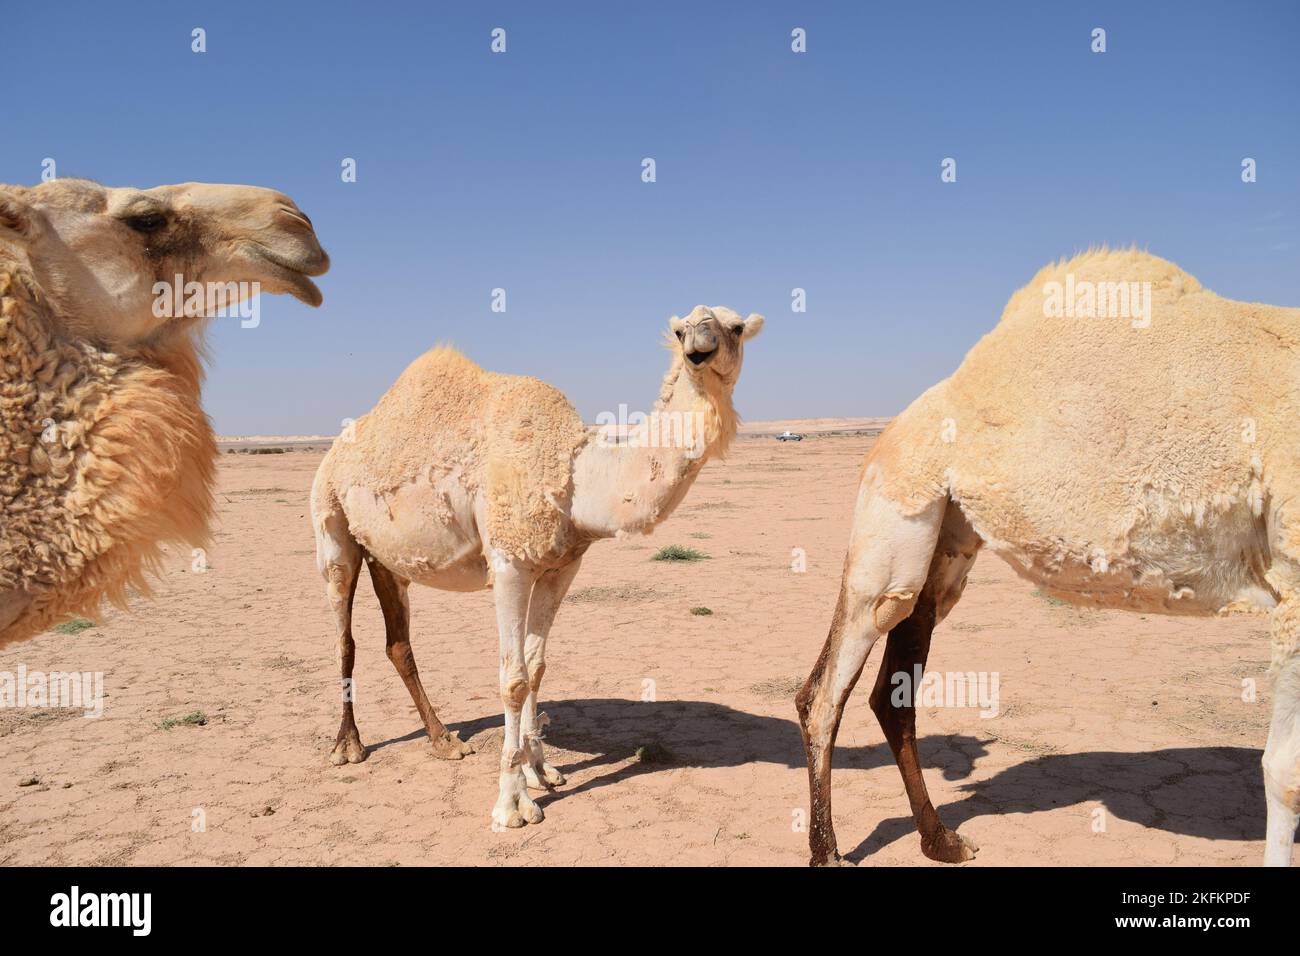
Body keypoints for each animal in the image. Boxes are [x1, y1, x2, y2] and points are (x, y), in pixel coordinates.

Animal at [312, 306, 762, 828]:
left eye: (734, 327)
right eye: (680, 327)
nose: (699, 345)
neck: (575, 476)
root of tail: (335, 449)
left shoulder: (560, 567)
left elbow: (537, 665)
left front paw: (541, 771)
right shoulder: (509, 563)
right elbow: (513, 678)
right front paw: (512, 804)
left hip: (385, 556)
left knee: (398, 643)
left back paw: (445, 741)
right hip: (332, 527)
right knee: (344, 636)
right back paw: (348, 746)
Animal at [796, 248, 1300, 867]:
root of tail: (896, 427)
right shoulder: (1295, 582)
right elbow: (1284, 772)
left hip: (944, 543)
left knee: (893, 695)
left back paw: (941, 839)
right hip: (895, 513)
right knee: (827, 691)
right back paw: (829, 852)